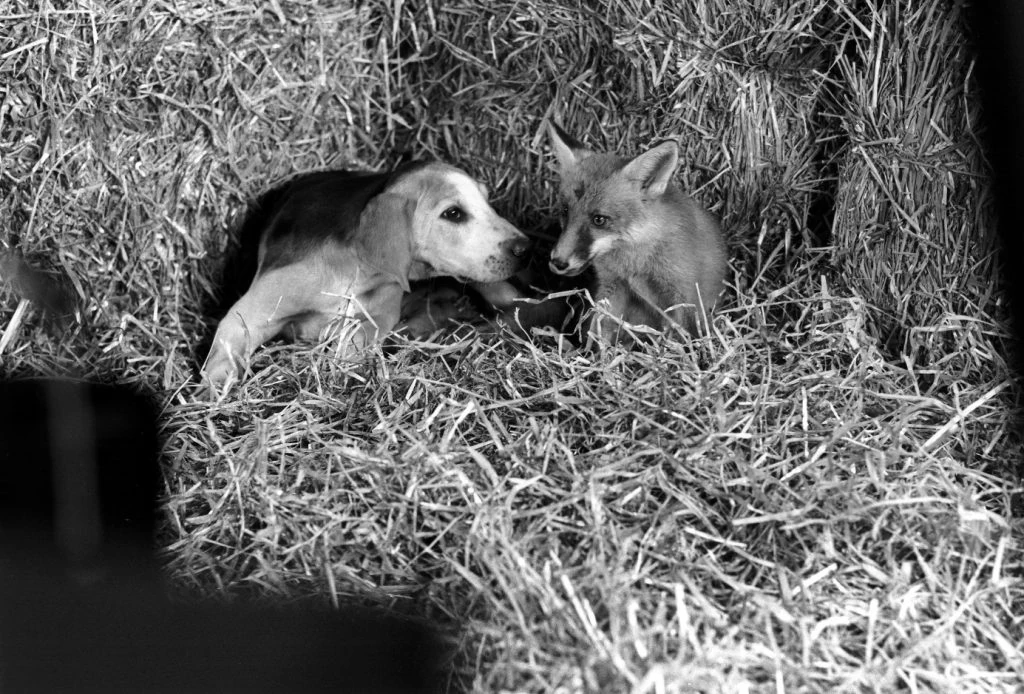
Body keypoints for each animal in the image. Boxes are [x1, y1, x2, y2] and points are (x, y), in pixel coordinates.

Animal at [546, 122, 727, 340]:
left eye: (599, 220)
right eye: (565, 211)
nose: (558, 262)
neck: (636, 260)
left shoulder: (685, 294)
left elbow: (690, 334)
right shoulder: (612, 286)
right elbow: (599, 329)